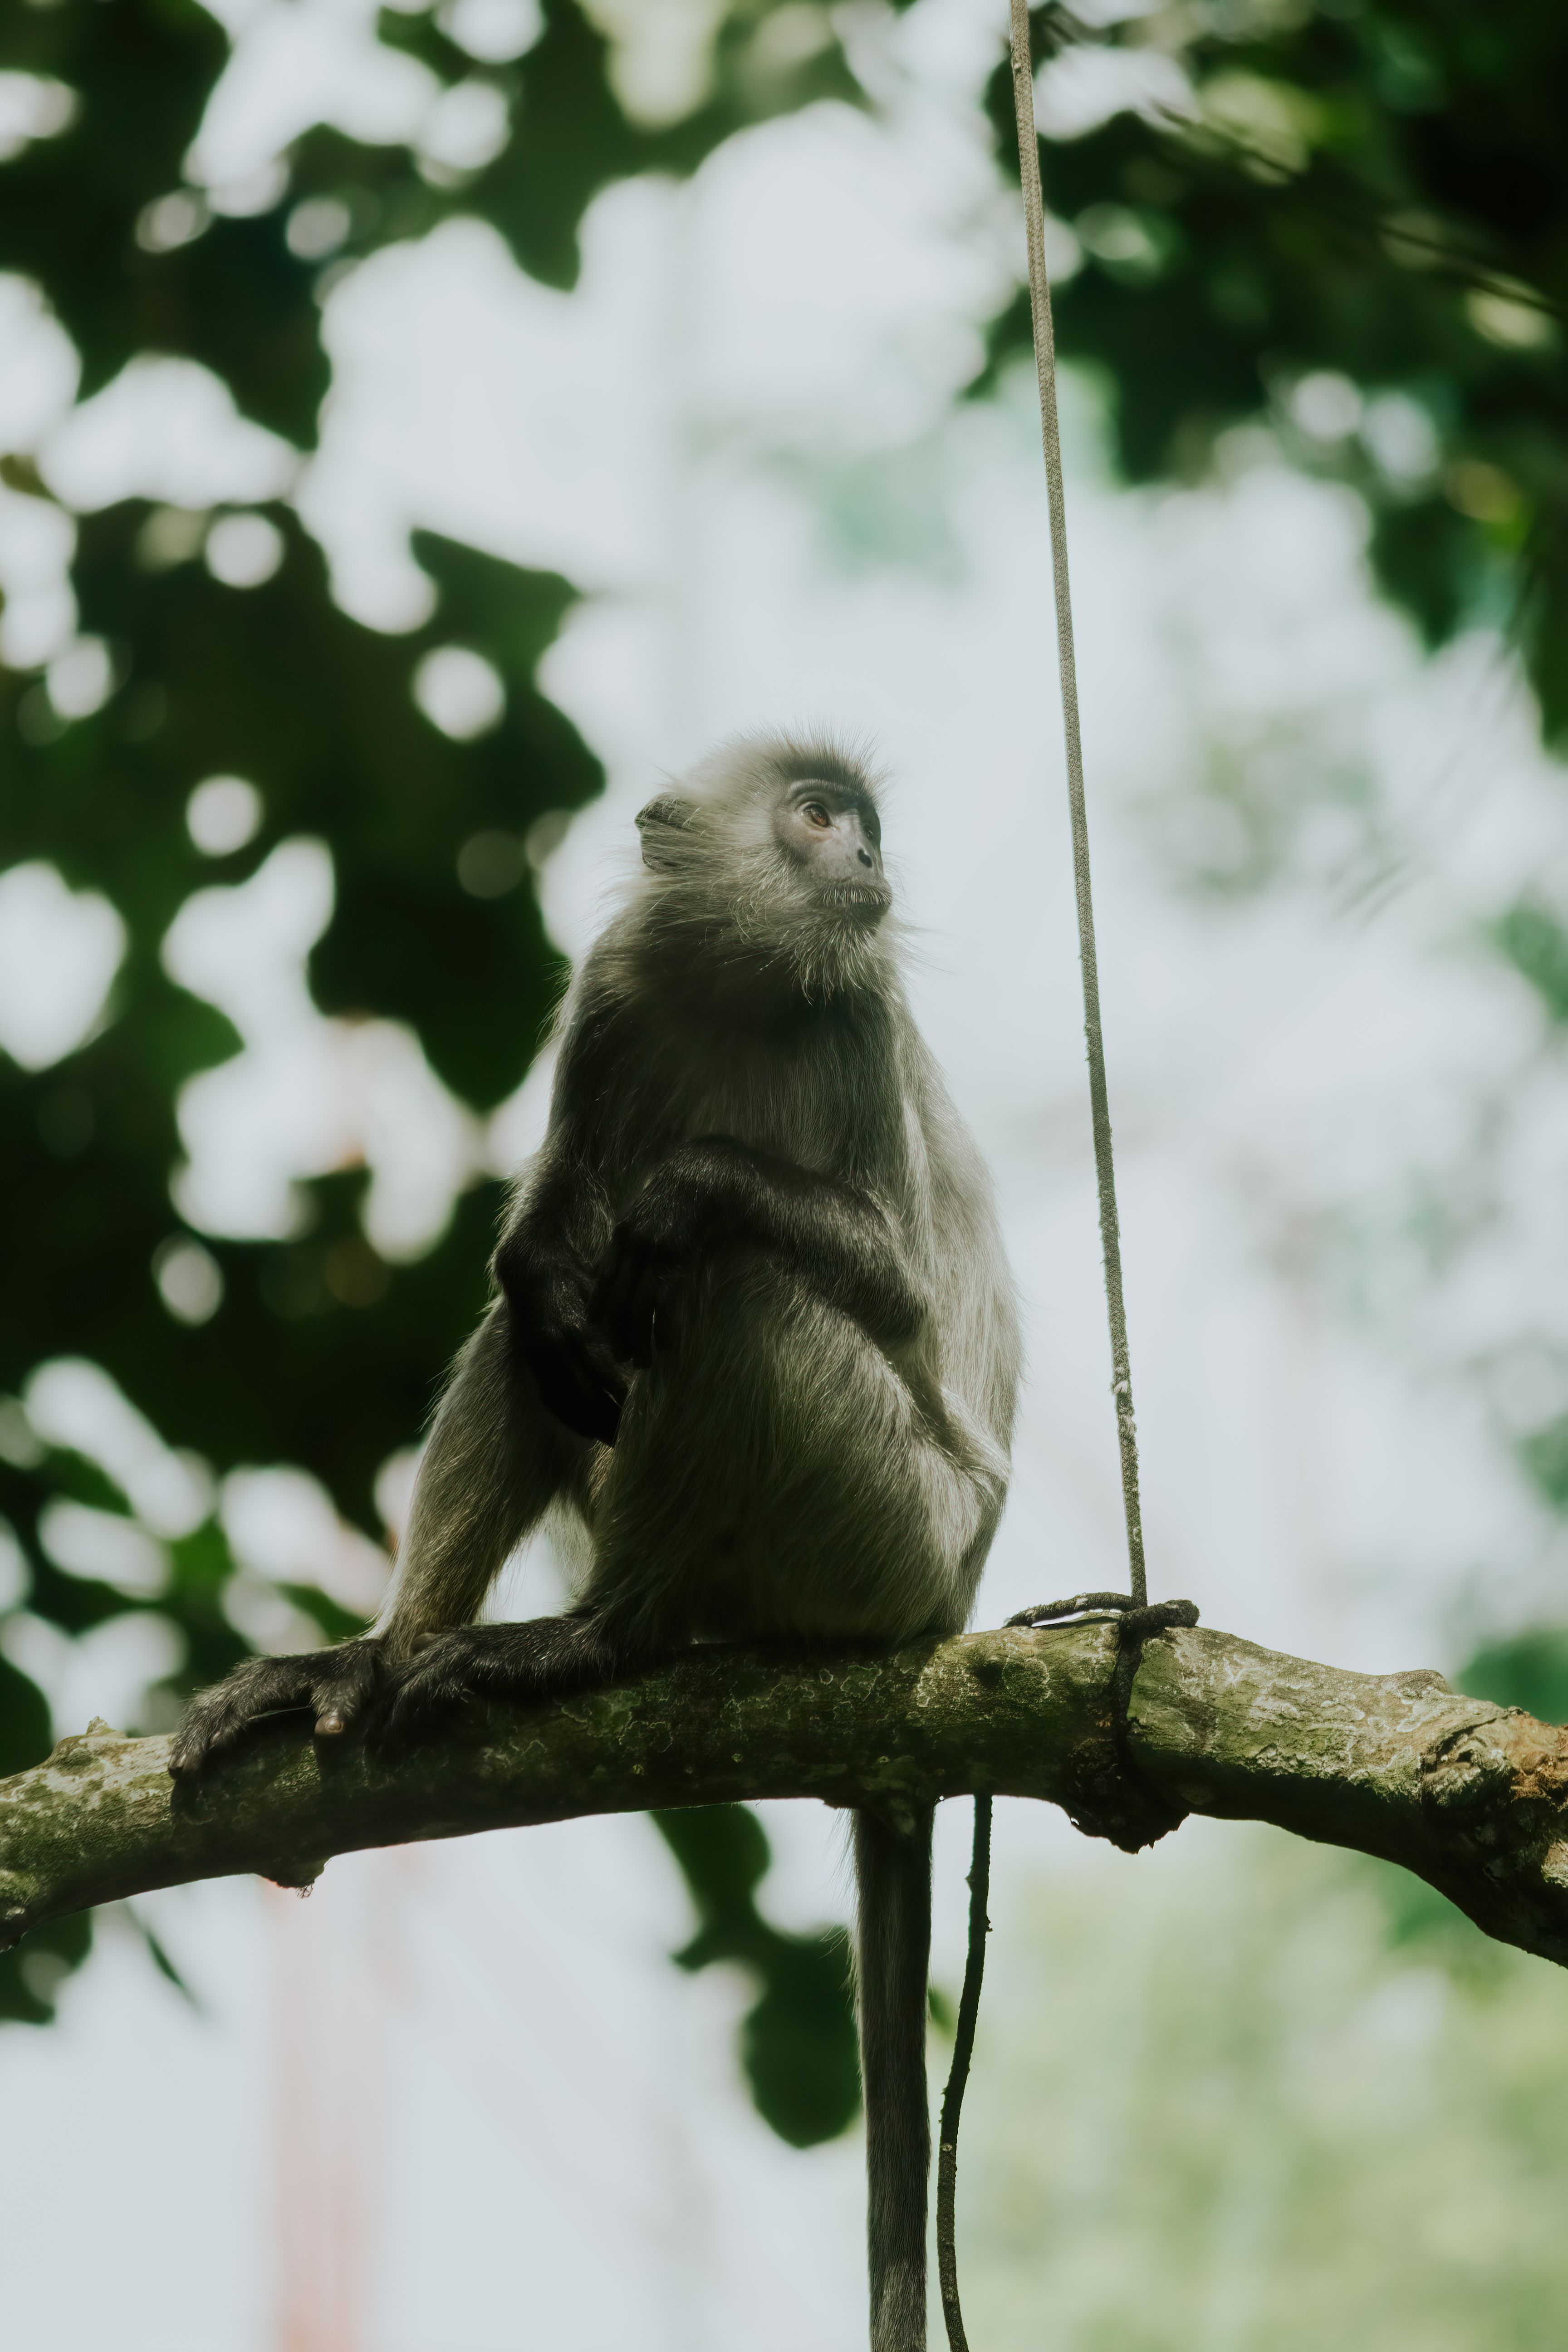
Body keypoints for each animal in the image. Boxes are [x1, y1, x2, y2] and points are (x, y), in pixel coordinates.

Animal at [172, 733, 1021, 2352]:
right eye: (818, 815)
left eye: (861, 827)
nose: (863, 860)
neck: (747, 984)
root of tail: (950, 1606)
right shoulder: (618, 985)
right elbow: (543, 1243)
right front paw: (542, 1253)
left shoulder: (856, 1019)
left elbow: (875, 1275)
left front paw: (689, 1185)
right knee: (543, 1335)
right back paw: (376, 1658)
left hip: (884, 1532)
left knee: (730, 1280)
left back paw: (591, 1641)